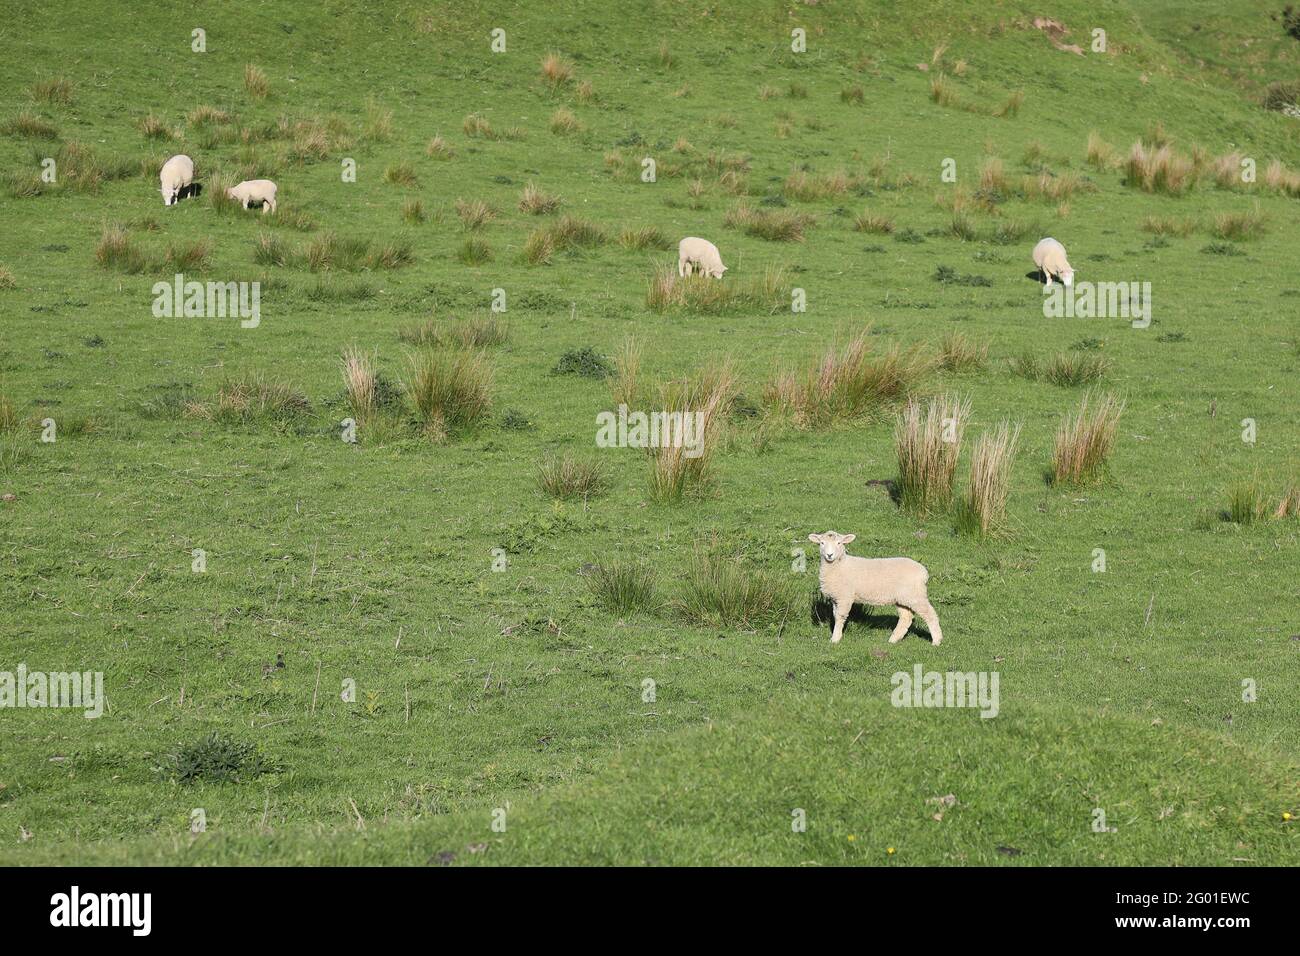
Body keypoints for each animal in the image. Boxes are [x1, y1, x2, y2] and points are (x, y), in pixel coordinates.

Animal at [807, 530, 943, 646]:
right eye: (822, 543)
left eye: (839, 543)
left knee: (930, 614)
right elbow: (835, 615)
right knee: (906, 617)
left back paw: (936, 640)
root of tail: (924, 572)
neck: (840, 565)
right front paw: (836, 635)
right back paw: (893, 639)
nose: (829, 555)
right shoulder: (836, 597)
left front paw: (835, 639)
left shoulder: (845, 597)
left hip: (915, 595)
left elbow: (840, 617)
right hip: (903, 598)